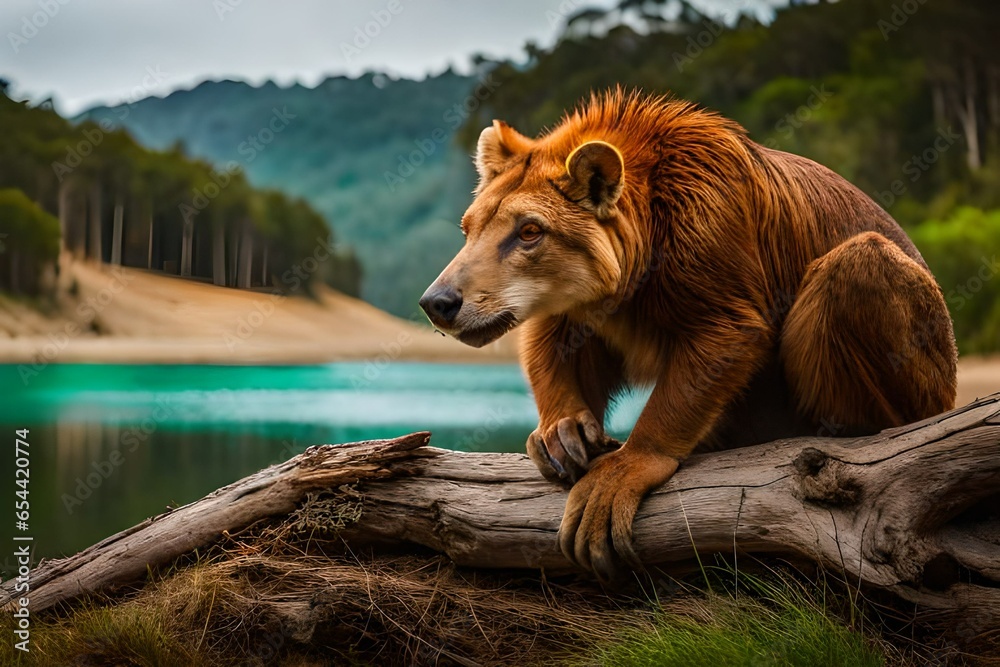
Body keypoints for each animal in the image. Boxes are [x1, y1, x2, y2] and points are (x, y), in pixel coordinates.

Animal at [419, 89, 958, 581]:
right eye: (470, 228)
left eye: (529, 231)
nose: (439, 301)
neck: (641, 257)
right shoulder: (586, 309)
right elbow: (557, 348)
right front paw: (560, 433)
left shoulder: (715, 261)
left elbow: (703, 366)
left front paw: (617, 476)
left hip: (915, 350)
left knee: (857, 271)